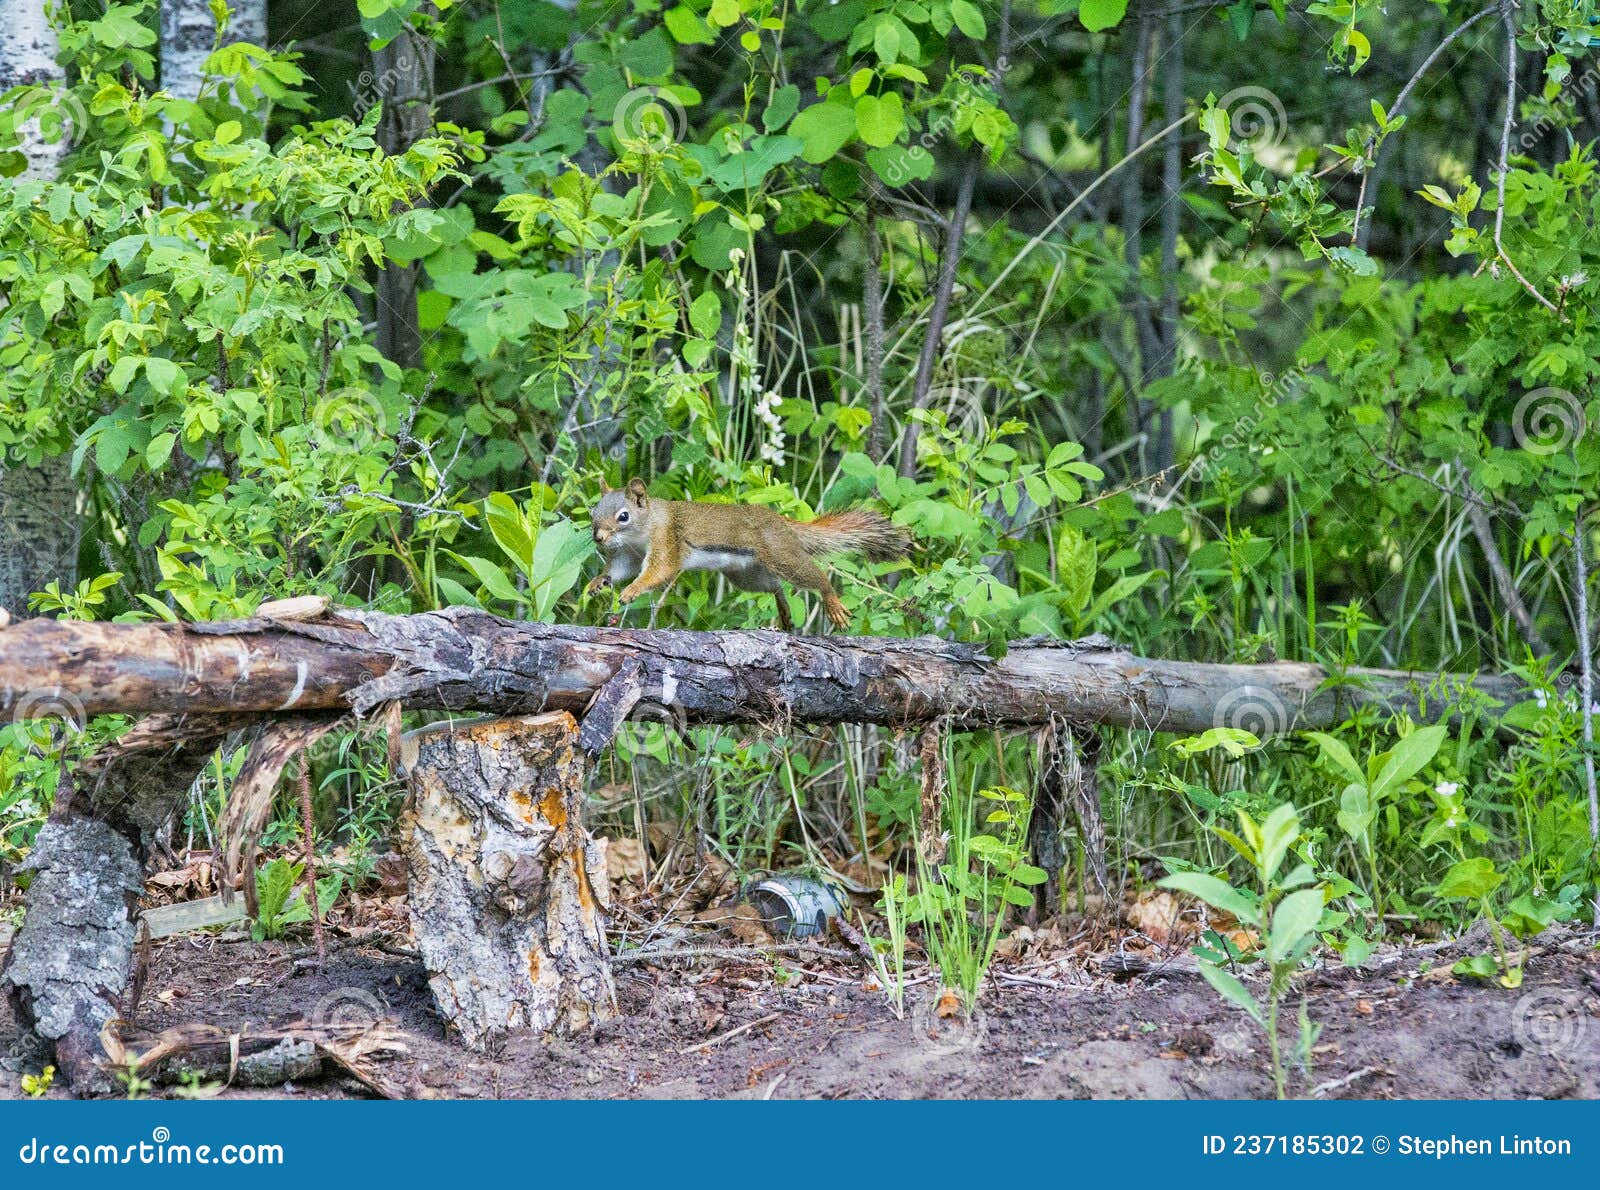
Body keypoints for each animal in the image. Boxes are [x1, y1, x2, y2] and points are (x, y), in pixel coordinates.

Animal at [586, 477, 909, 631]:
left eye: (624, 516)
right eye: (593, 511)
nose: (598, 537)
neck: (642, 531)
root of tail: (781, 523)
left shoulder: (667, 540)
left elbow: (659, 570)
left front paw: (631, 591)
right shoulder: (629, 553)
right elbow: (620, 569)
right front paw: (599, 581)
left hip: (781, 555)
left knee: (814, 577)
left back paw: (831, 602)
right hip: (747, 574)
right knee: (776, 586)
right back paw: (785, 613)